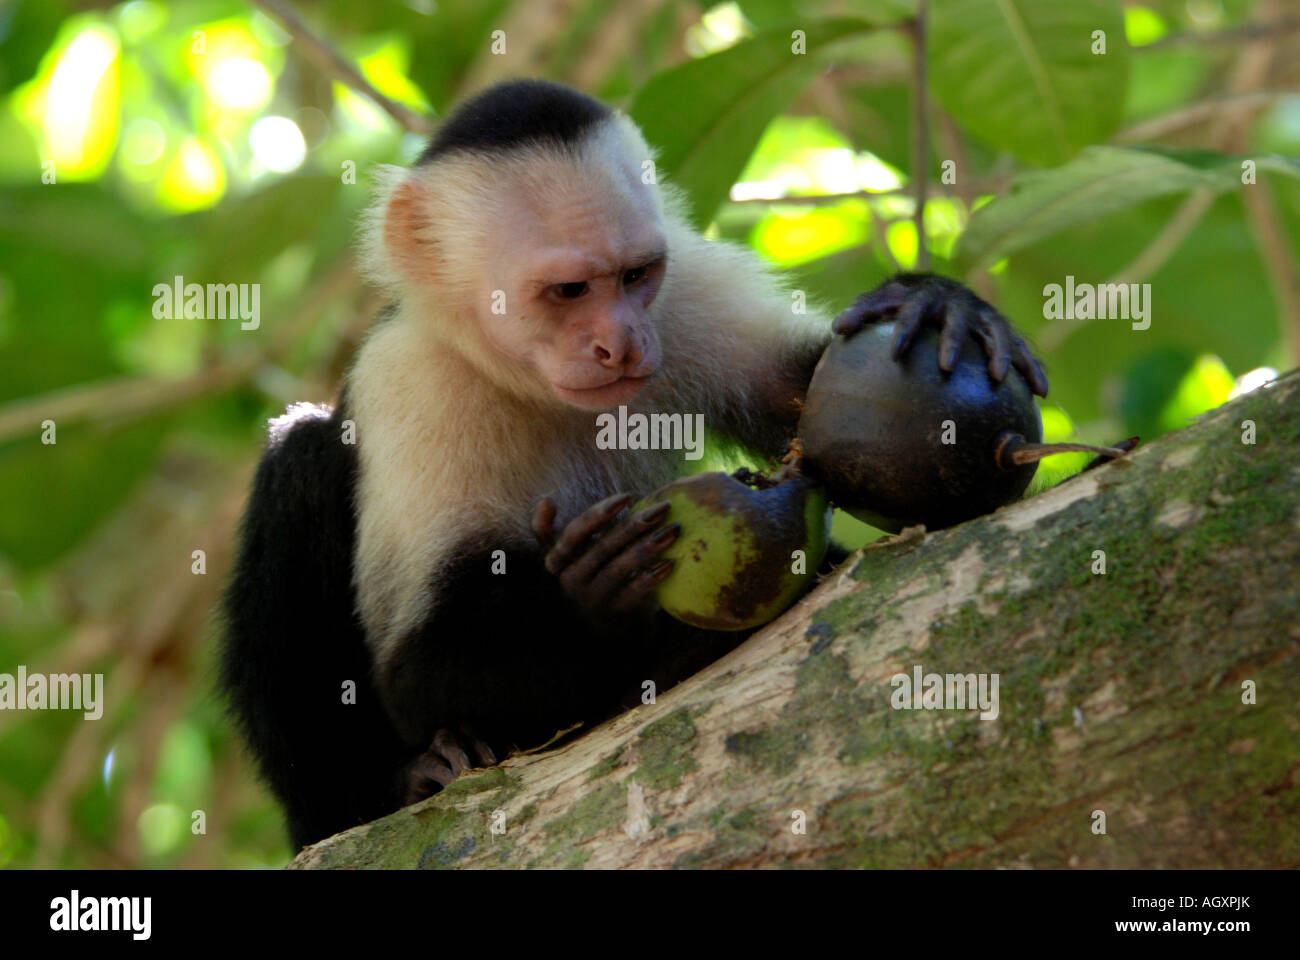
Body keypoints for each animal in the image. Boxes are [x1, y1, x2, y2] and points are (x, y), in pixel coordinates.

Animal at [218, 78, 1048, 850]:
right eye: (567, 290)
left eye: (635, 275)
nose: (619, 343)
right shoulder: (414, 384)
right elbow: (415, 672)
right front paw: (592, 600)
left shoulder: (684, 297)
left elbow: (804, 400)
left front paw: (936, 300)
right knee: (302, 457)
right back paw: (401, 782)